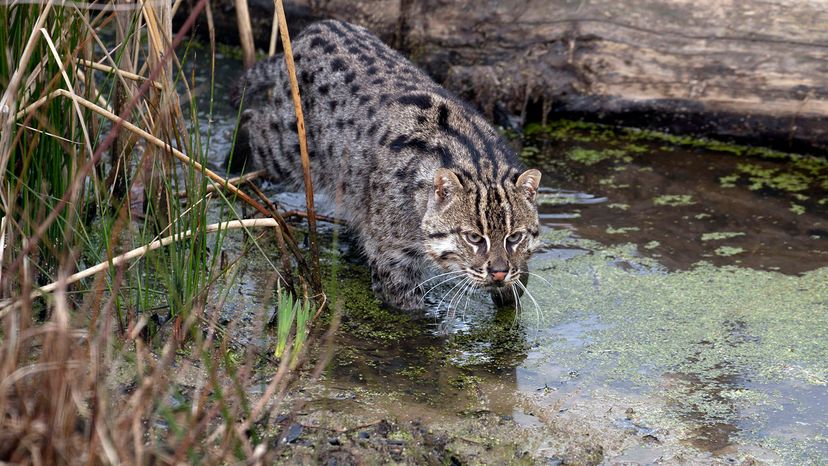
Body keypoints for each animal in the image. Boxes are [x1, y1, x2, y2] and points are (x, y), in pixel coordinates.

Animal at [234, 21, 544, 312]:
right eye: (474, 238)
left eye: (515, 237)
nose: (499, 272)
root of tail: (315, 28)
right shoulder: (393, 254)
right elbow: (406, 303)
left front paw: (511, 292)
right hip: (289, 148)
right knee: (252, 120)